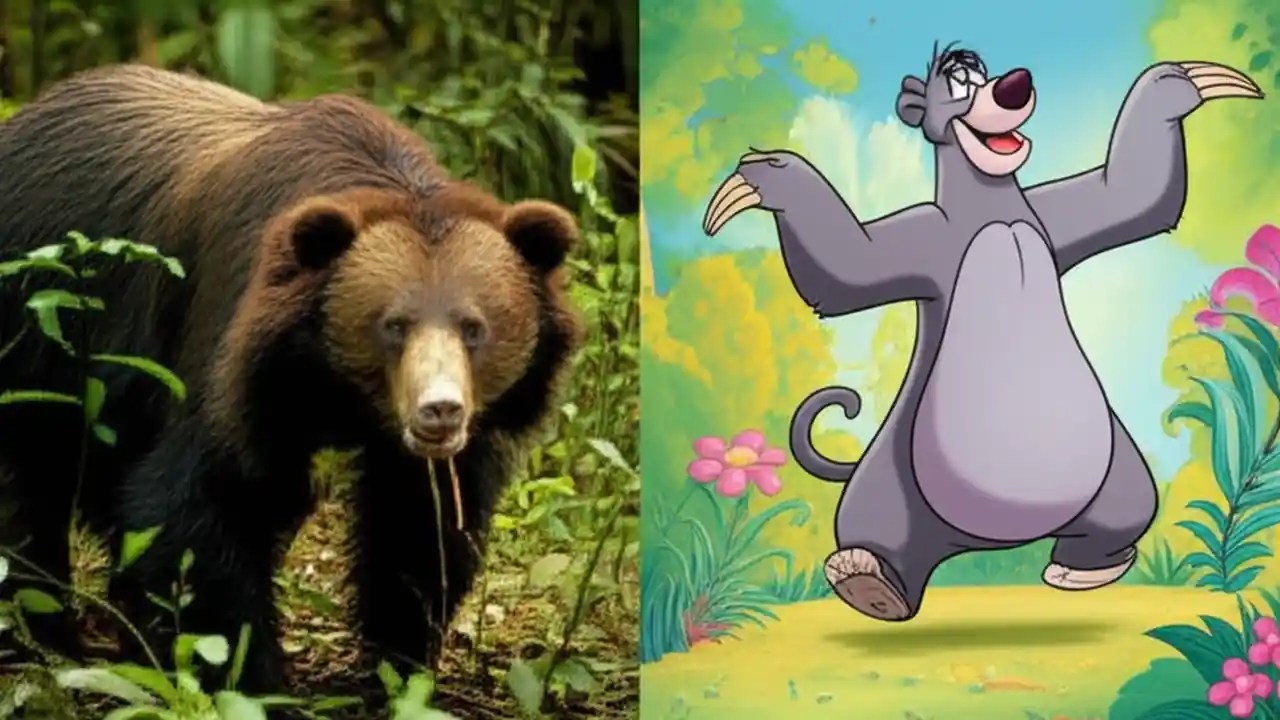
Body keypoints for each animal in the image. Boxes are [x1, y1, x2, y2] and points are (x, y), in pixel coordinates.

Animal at [0, 64, 582, 692]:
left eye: (473, 328)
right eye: (393, 325)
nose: (441, 411)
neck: (324, 382)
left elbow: (418, 525)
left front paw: (396, 665)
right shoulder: (229, 354)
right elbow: (198, 507)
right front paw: (250, 676)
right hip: (41, 327)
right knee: (35, 481)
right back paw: (48, 630)